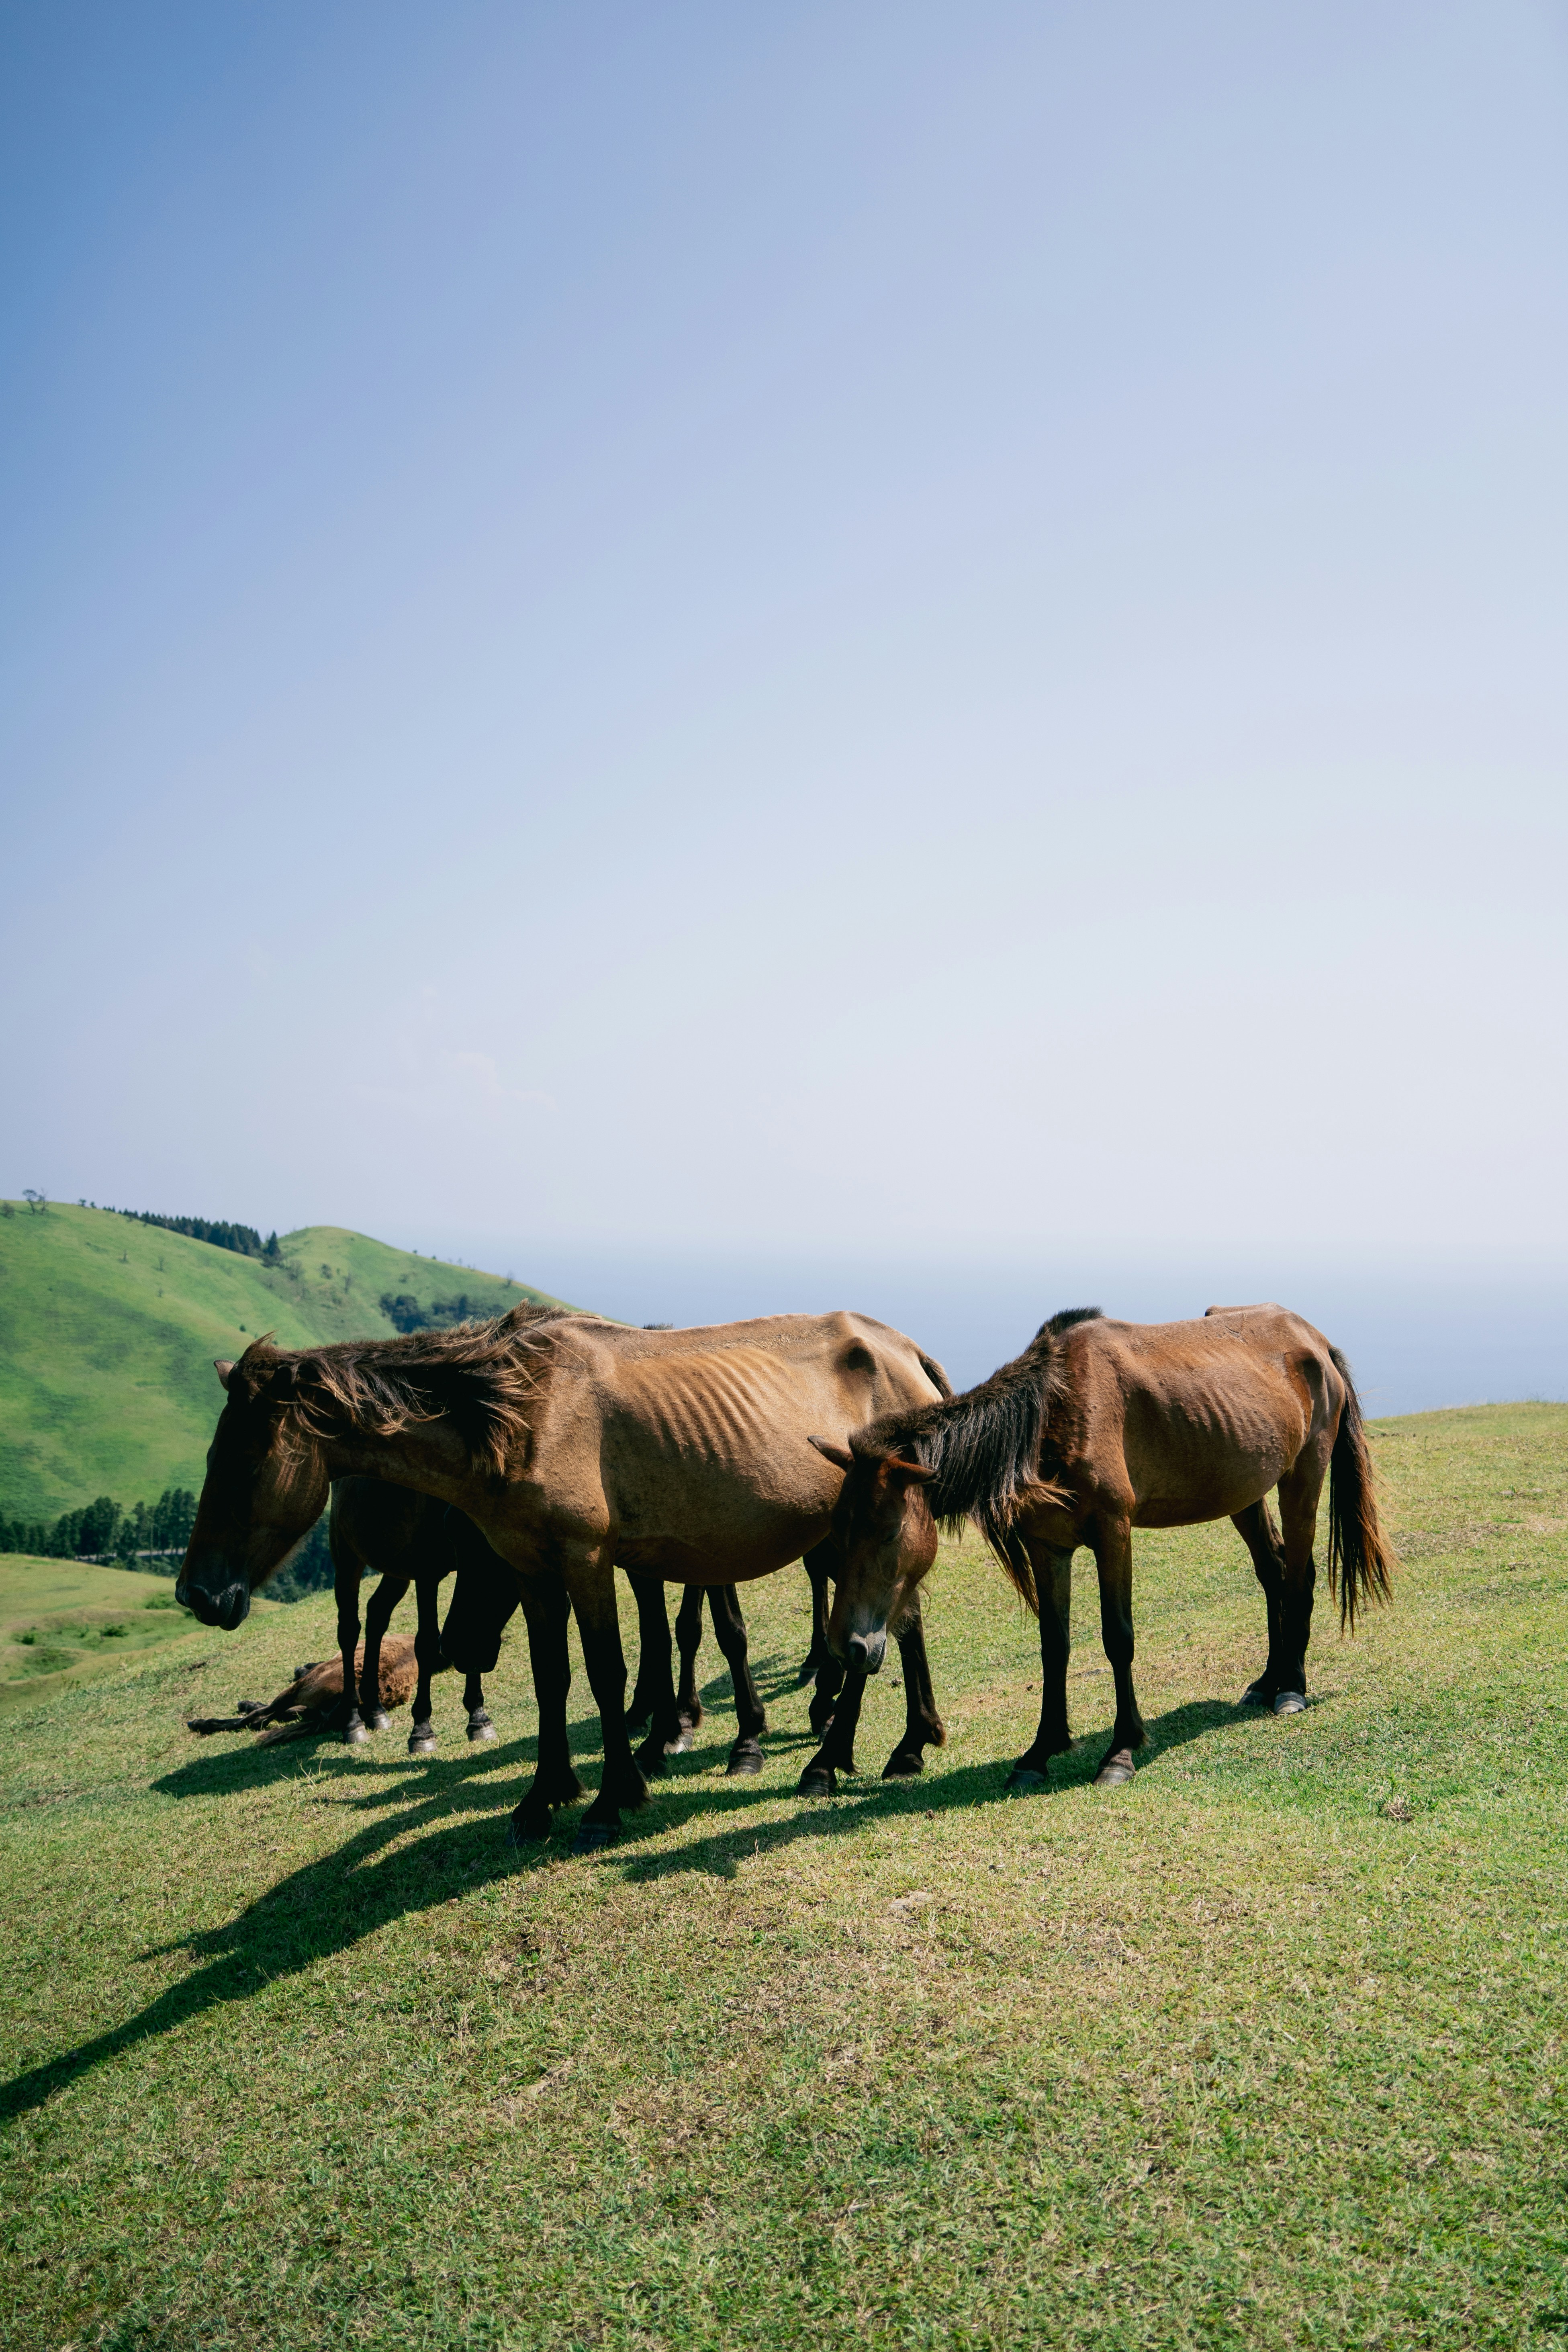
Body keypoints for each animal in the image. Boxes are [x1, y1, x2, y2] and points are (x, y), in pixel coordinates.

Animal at [175, 1307, 952, 1850]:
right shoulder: (531, 1568)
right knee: (893, 1628)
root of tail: (904, 1348)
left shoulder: (586, 1560)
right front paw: (544, 1795)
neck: (526, 1415)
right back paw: (898, 1742)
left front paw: (614, 1798)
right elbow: (553, 1676)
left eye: (246, 1463)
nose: (197, 1594)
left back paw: (842, 1754)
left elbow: (608, 1673)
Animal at [810, 1301, 1393, 1791]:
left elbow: (1118, 1638)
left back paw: (1291, 1687)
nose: (847, 1647)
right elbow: (1054, 1645)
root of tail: (1314, 1340)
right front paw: (1039, 1752)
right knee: (1272, 1572)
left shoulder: (1113, 1532)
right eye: (836, 1529)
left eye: (887, 1531)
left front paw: (1120, 1750)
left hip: (1303, 1476)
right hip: (1243, 1491)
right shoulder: (1047, 1546)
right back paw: (1268, 1681)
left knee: (1298, 1575)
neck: (1051, 1412)